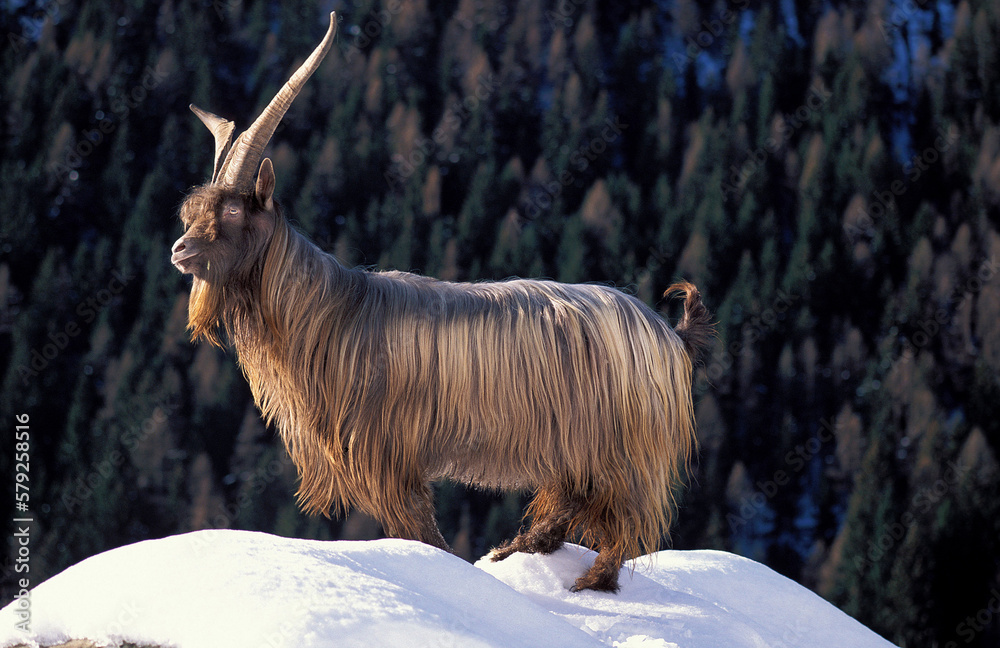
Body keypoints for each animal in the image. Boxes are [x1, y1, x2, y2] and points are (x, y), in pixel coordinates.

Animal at [170, 12, 713, 592]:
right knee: (570, 501)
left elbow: (419, 528)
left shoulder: (389, 452)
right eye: (192, 212)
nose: (180, 251)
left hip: (619, 445)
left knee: (622, 516)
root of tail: (668, 334)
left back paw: (588, 580)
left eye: (232, 212)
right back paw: (517, 549)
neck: (329, 311)